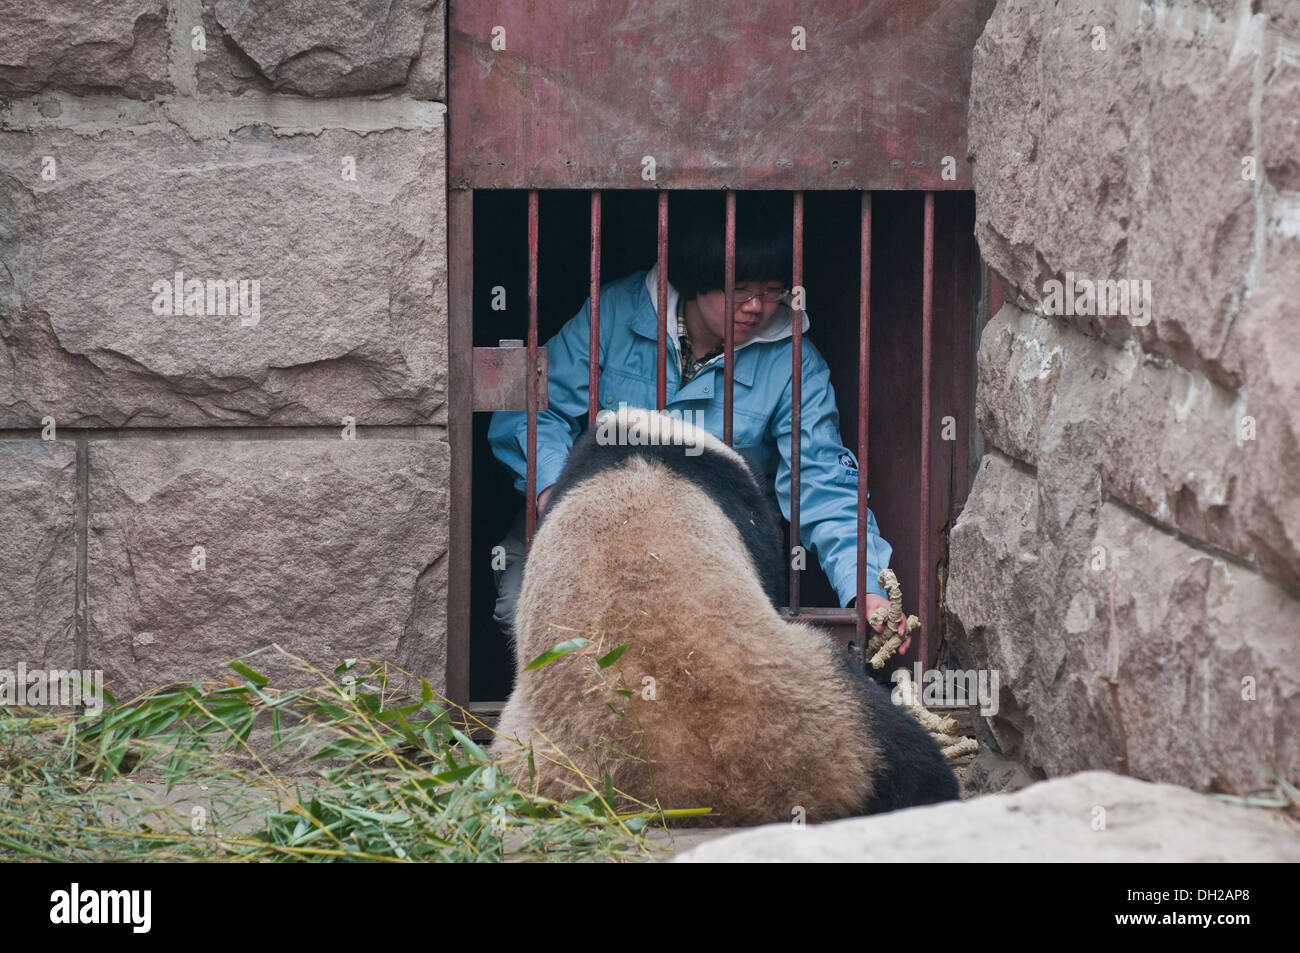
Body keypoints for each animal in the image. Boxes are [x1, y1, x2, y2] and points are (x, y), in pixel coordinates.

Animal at [490, 405, 959, 825]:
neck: (649, 443)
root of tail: (708, 793)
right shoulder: (738, 498)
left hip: (532, 753)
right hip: (829, 702)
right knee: (904, 754)